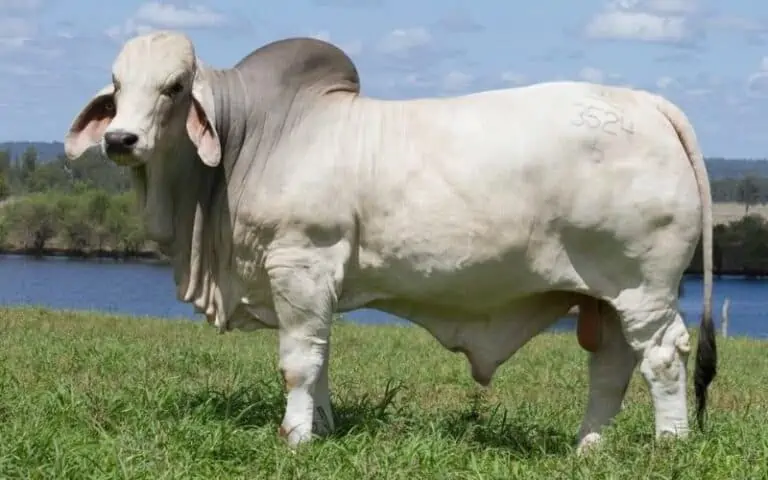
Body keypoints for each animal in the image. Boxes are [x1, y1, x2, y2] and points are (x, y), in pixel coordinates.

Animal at [63, 30, 716, 454]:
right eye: (118, 85)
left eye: (174, 87)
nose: (120, 139)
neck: (252, 138)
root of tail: (649, 103)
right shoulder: (311, 287)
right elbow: (320, 358)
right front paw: (323, 428)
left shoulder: (300, 264)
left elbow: (298, 363)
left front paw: (295, 438)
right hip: (605, 297)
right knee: (611, 366)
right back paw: (588, 448)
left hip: (644, 287)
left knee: (663, 356)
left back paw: (669, 447)